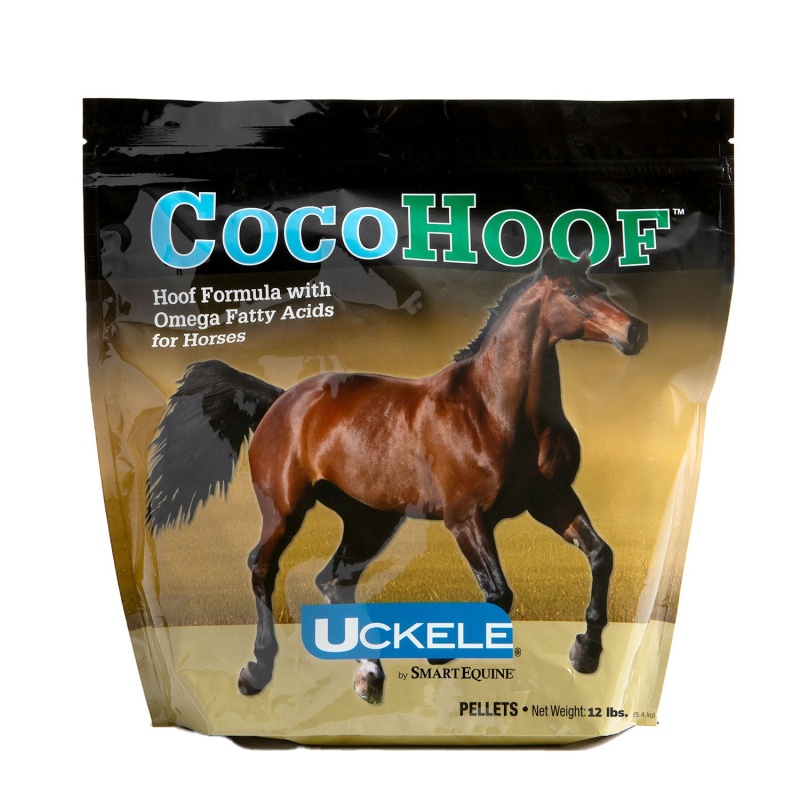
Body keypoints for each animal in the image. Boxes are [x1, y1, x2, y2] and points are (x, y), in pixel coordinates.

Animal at [147, 254, 648, 703]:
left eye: (600, 288)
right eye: (571, 293)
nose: (635, 332)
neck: (494, 410)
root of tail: (279, 400)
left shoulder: (552, 499)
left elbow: (600, 556)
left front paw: (585, 652)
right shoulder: (467, 519)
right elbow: (499, 593)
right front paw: (441, 654)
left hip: (370, 520)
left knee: (333, 581)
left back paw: (369, 674)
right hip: (286, 511)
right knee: (263, 568)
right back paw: (257, 671)